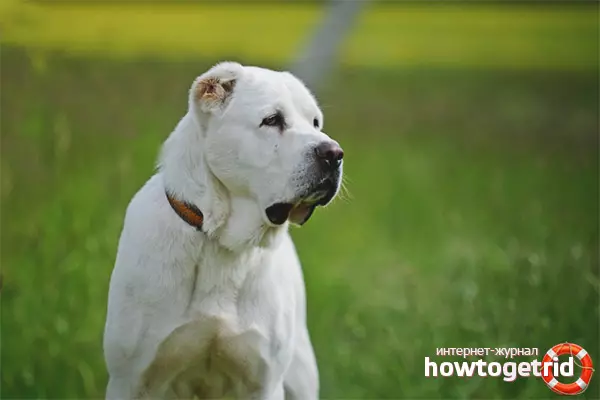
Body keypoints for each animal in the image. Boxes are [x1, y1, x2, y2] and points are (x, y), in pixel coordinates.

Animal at [104, 63, 342, 400]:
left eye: (316, 123)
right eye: (272, 120)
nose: (334, 153)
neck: (220, 240)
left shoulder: (264, 383)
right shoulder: (130, 380)